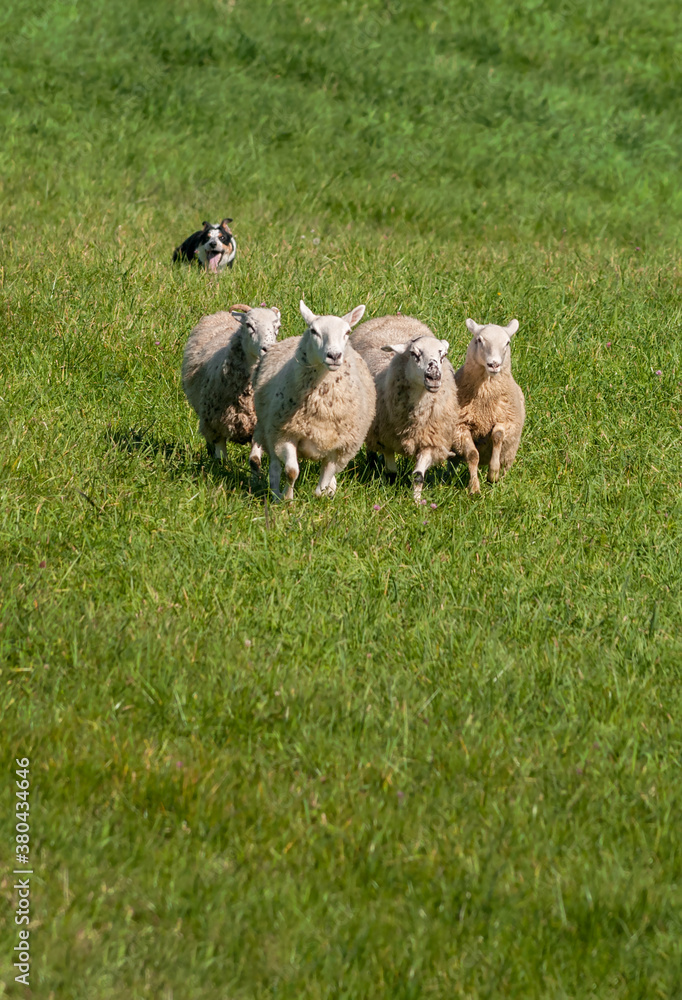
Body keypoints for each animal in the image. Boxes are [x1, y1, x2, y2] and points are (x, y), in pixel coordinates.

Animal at [181, 305, 281, 464]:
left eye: (277, 327)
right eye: (249, 325)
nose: (268, 348)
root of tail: (221, 313)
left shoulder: (258, 426)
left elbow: (254, 460)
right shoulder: (216, 423)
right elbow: (221, 459)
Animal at [252, 300, 376, 500]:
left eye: (347, 332)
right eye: (313, 331)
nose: (334, 356)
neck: (321, 407)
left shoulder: (341, 449)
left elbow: (323, 482)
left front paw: (321, 497)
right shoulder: (285, 435)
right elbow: (291, 471)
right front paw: (288, 499)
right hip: (270, 430)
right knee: (275, 466)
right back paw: (275, 494)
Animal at [352, 315, 458, 500]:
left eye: (443, 355)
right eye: (414, 354)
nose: (434, 377)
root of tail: (392, 316)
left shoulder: (429, 441)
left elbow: (418, 476)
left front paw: (416, 501)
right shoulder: (385, 438)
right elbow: (391, 472)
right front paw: (390, 491)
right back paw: (371, 464)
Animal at [451, 318, 525, 494]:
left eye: (507, 342)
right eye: (479, 340)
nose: (494, 364)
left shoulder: (506, 420)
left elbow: (497, 436)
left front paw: (493, 473)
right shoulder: (460, 427)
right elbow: (472, 455)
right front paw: (474, 488)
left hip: (511, 451)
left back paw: (501, 482)